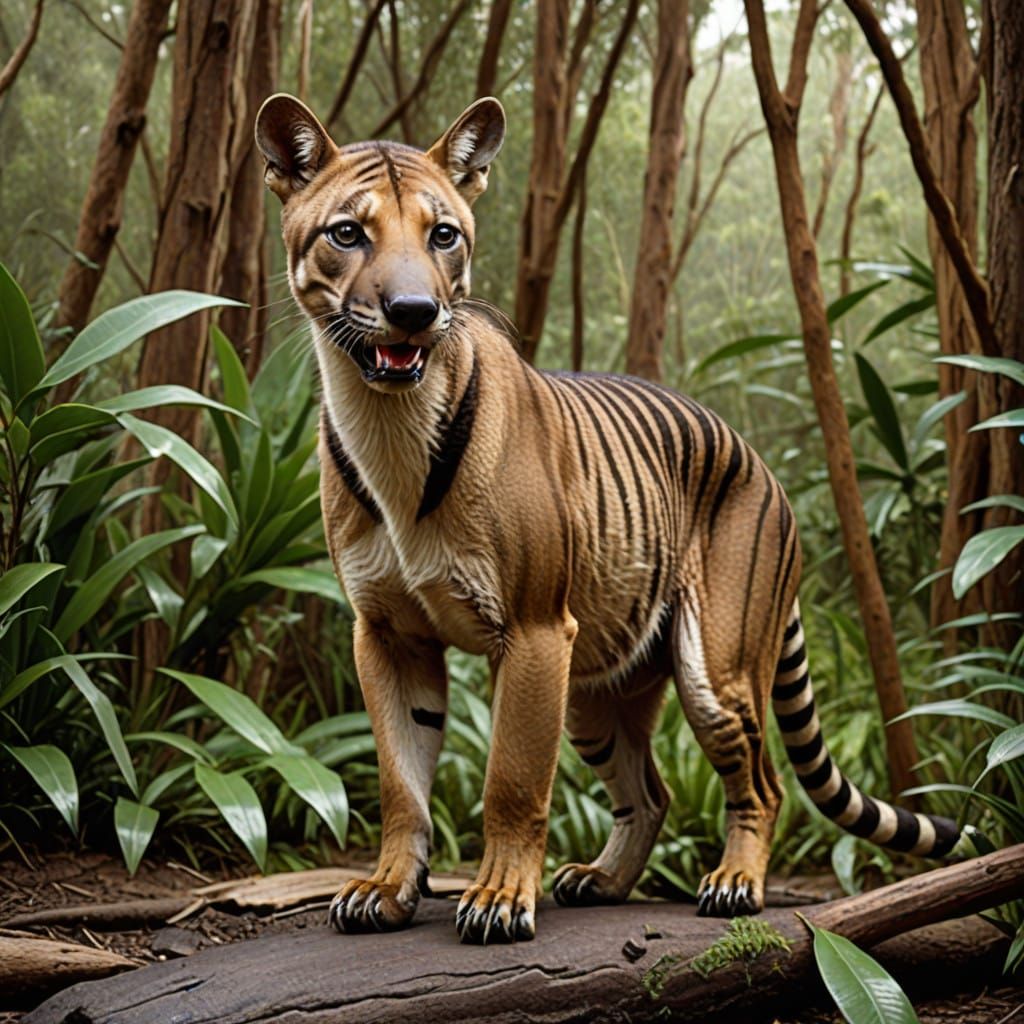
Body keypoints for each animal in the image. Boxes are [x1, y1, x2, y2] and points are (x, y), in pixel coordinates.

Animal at [254, 93, 960, 945]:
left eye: (442, 235)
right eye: (349, 233)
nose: (415, 312)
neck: (389, 421)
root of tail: (765, 464)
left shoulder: (532, 631)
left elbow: (512, 779)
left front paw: (497, 899)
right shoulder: (388, 633)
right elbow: (401, 779)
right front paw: (387, 888)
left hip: (715, 673)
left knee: (762, 784)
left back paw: (734, 883)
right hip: (596, 687)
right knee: (650, 792)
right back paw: (603, 880)